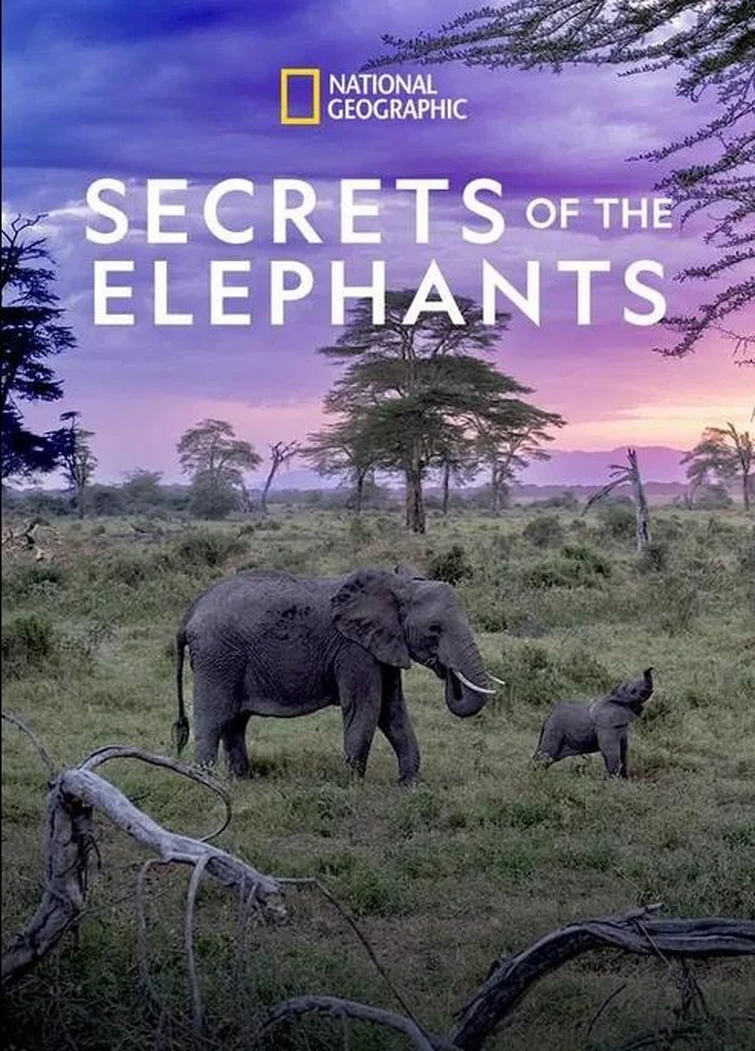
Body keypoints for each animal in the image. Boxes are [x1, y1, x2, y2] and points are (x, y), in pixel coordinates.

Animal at [173, 565, 500, 783]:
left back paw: (241, 780)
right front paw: (353, 785)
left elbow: (392, 710)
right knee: (214, 718)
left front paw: (409, 785)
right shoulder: (353, 649)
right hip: (217, 657)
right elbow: (367, 707)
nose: (447, 670)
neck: (397, 585)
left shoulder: (381, 646)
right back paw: (204, 781)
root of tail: (190, 612)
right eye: (435, 629)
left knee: (235, 720)